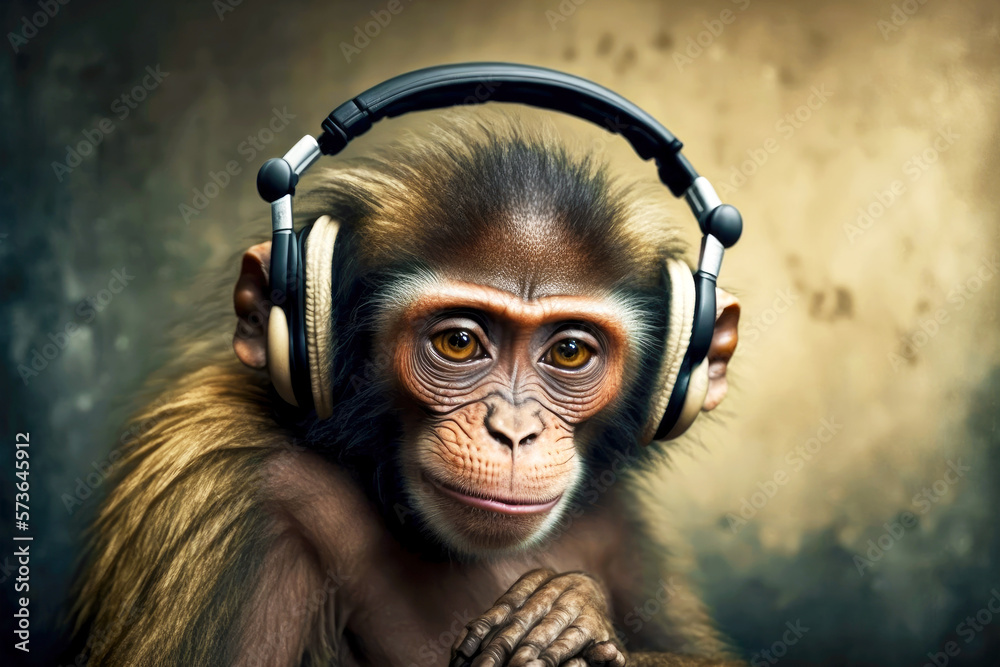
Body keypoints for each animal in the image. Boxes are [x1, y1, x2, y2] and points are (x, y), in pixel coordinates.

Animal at [66, 115, 743, 667]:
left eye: (569, 353)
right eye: (459, 343)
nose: (514, 430)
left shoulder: (618, 521)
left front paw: (571, 610)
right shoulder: (220, 479)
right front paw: (570, 611)